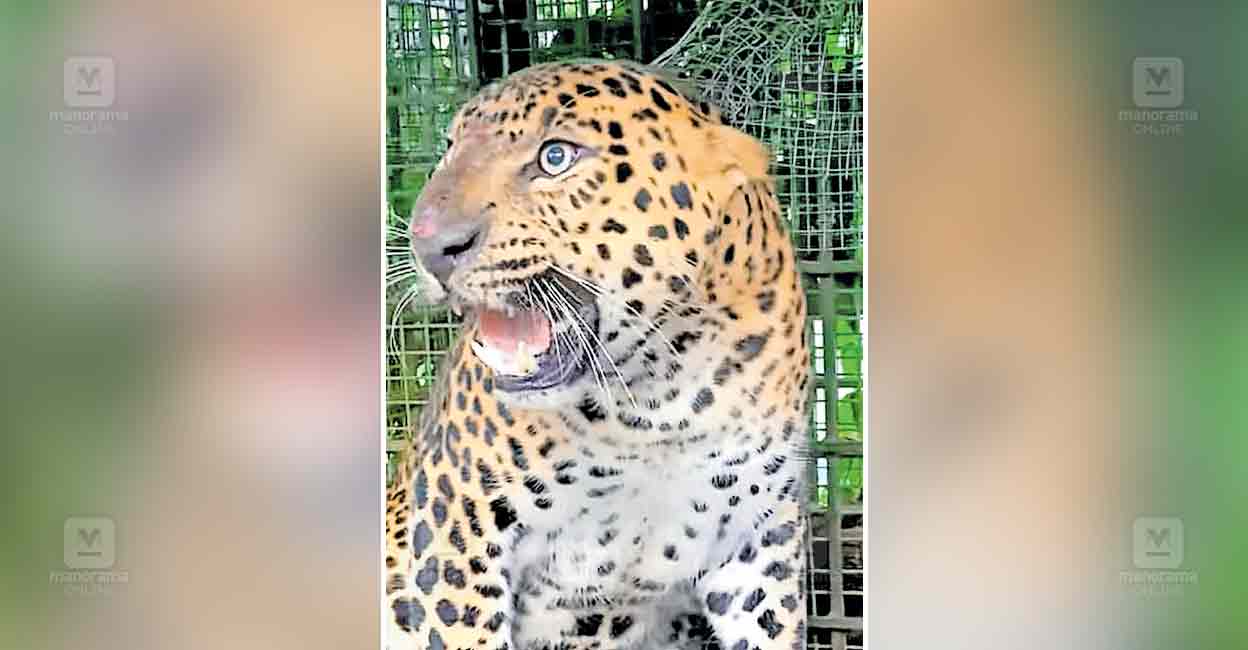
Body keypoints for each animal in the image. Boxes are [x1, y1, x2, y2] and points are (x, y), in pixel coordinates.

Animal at [386, 60, 810, 650]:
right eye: (450, 148)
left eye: (555, 157)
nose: (429, 246)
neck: (658, 403)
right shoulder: (452, 530)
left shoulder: (757, 540)